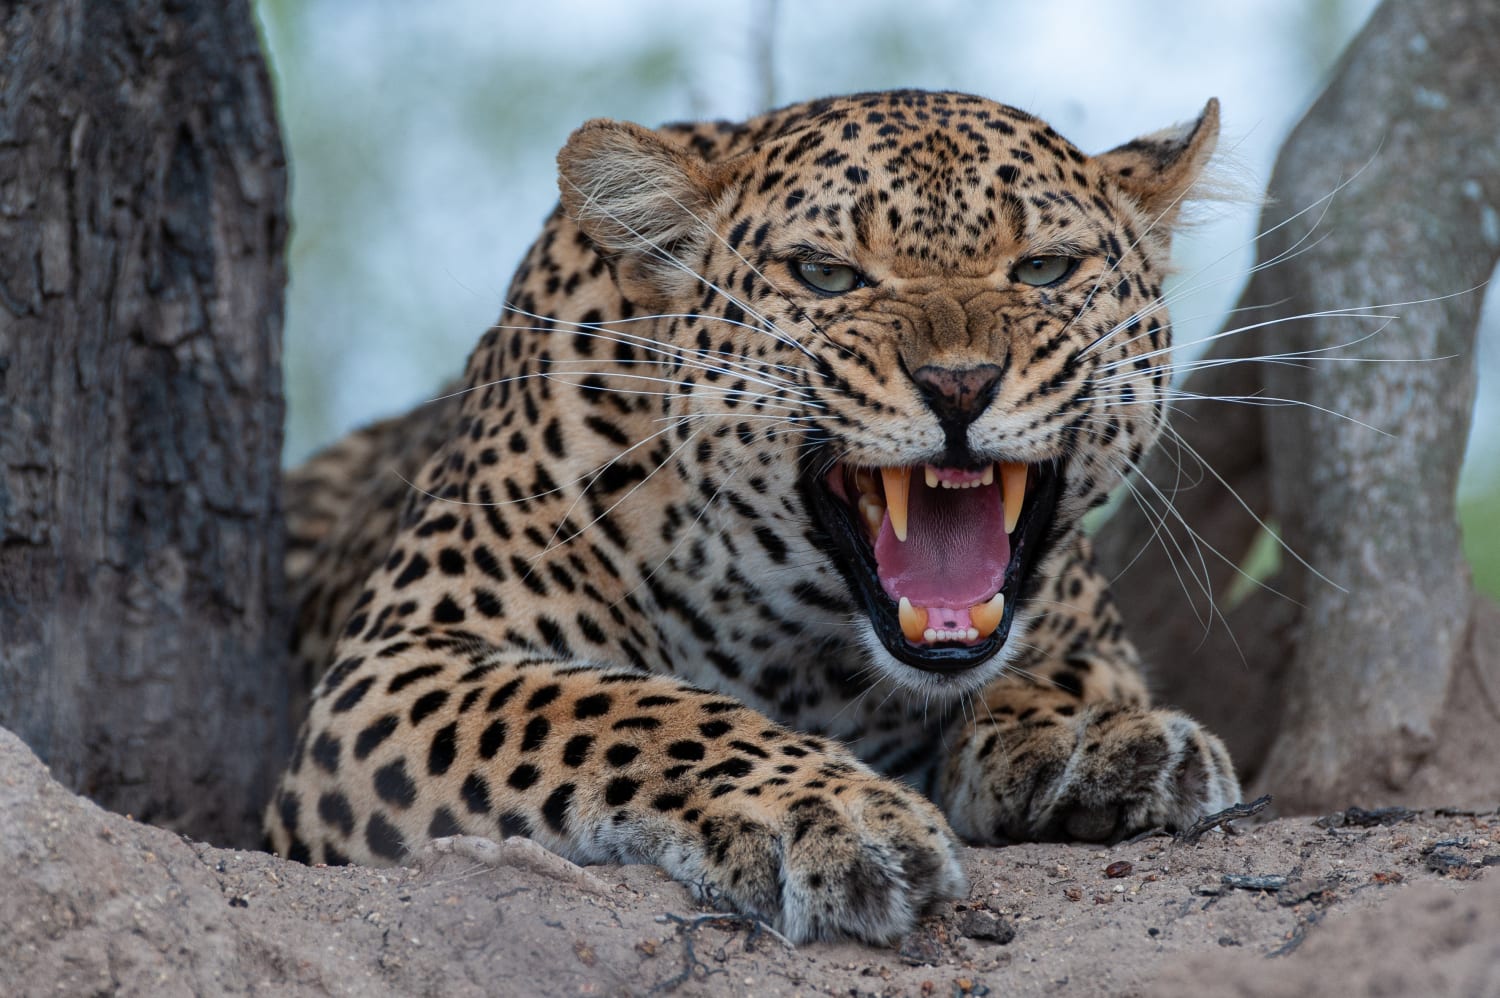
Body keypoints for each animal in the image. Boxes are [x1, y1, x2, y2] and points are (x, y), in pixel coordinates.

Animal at [266, 89, 1242, 945]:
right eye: (826, 274)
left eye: (1044, 268)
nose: (959, 384)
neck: (809, 652)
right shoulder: (397, 664)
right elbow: (618, 708)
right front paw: (827, 813)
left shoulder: (1090, 639)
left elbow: (1054, 677)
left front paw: (1092, 739)